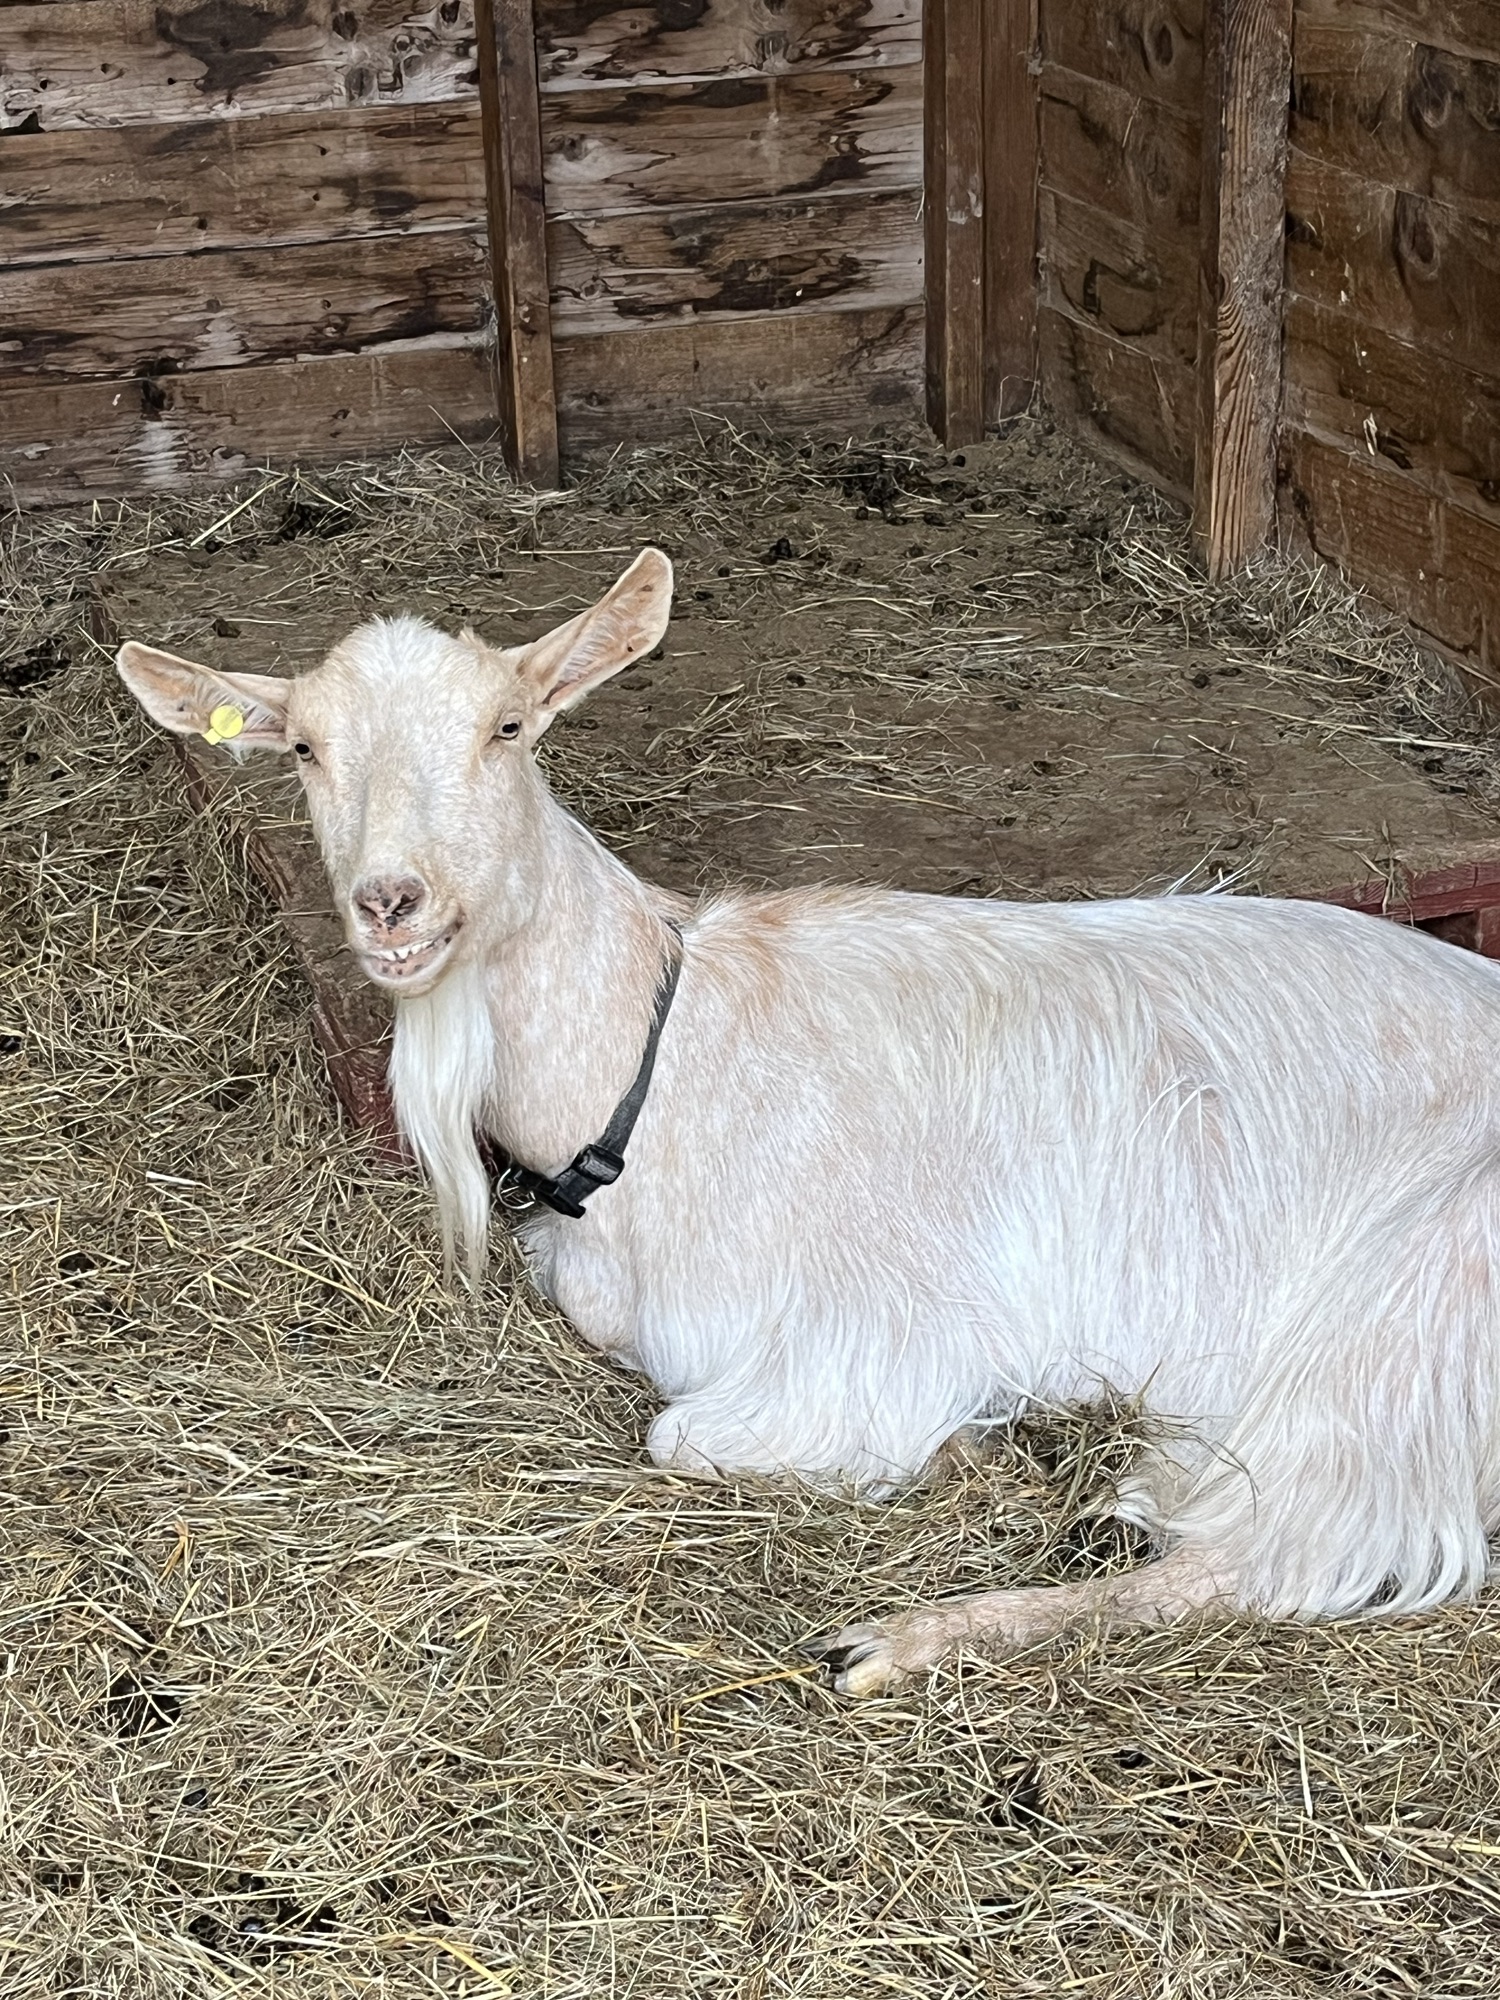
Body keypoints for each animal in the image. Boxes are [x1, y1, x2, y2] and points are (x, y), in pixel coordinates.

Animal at [118, 549, 1500, 1695]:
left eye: (508, 725)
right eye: (304, 747)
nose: (392, 902)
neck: (664, 1063)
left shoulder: (883, 1326)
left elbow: (683, 1432)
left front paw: (967, 1456)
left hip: (1409, 1320)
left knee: (1281, 1547)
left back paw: (905, 1635)